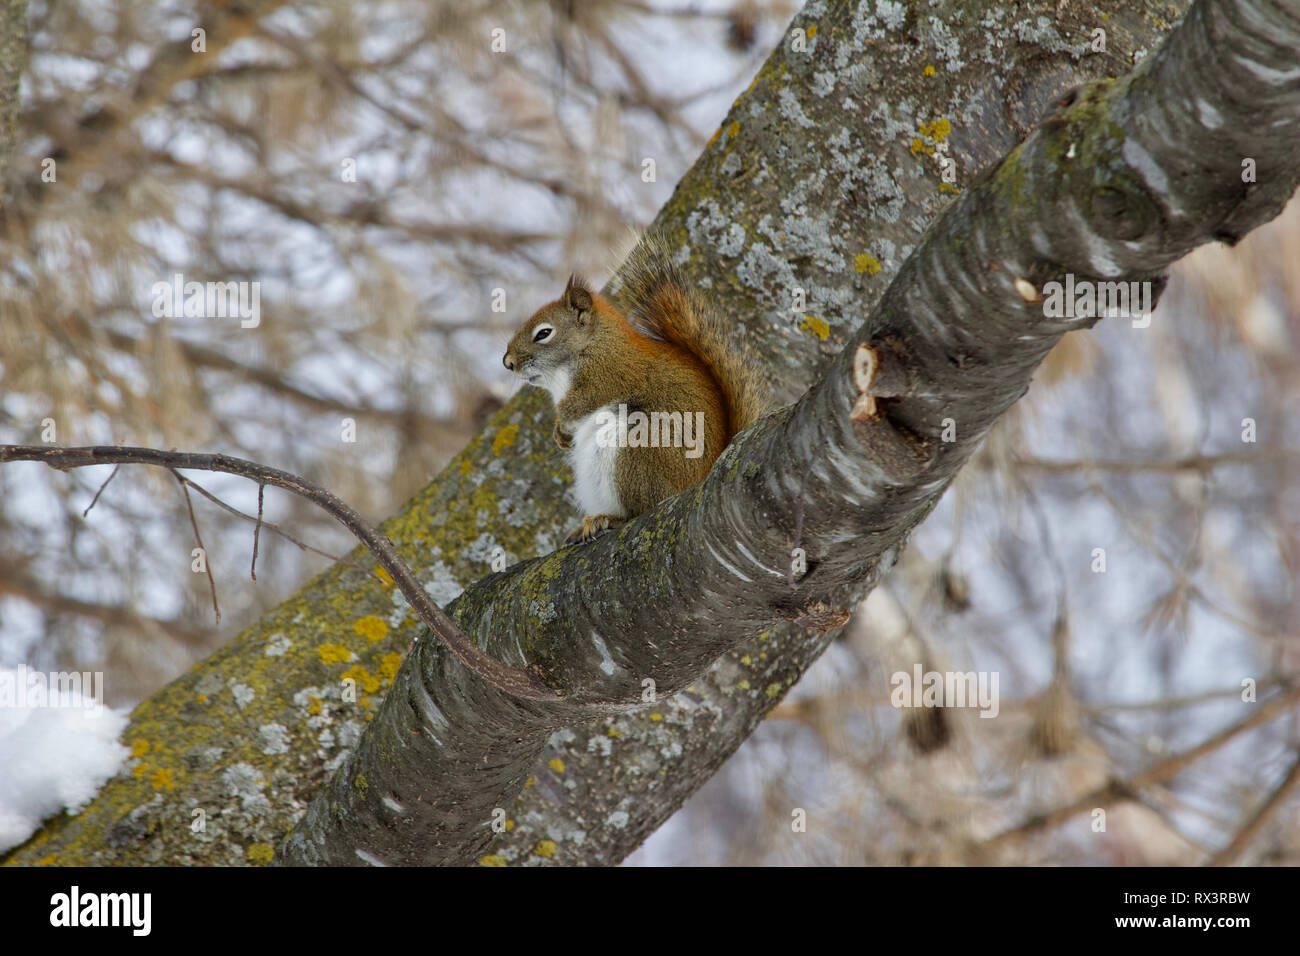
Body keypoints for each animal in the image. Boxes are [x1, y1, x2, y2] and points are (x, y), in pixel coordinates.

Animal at [503, 240, 769, 545]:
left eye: (544, 333)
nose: (507, 362)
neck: (594, 345)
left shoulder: (606, 379)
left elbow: (577, 406)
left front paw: (562, 426)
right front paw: (561, 437)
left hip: (638, 449)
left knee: (640, 508)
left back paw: (608, 519)